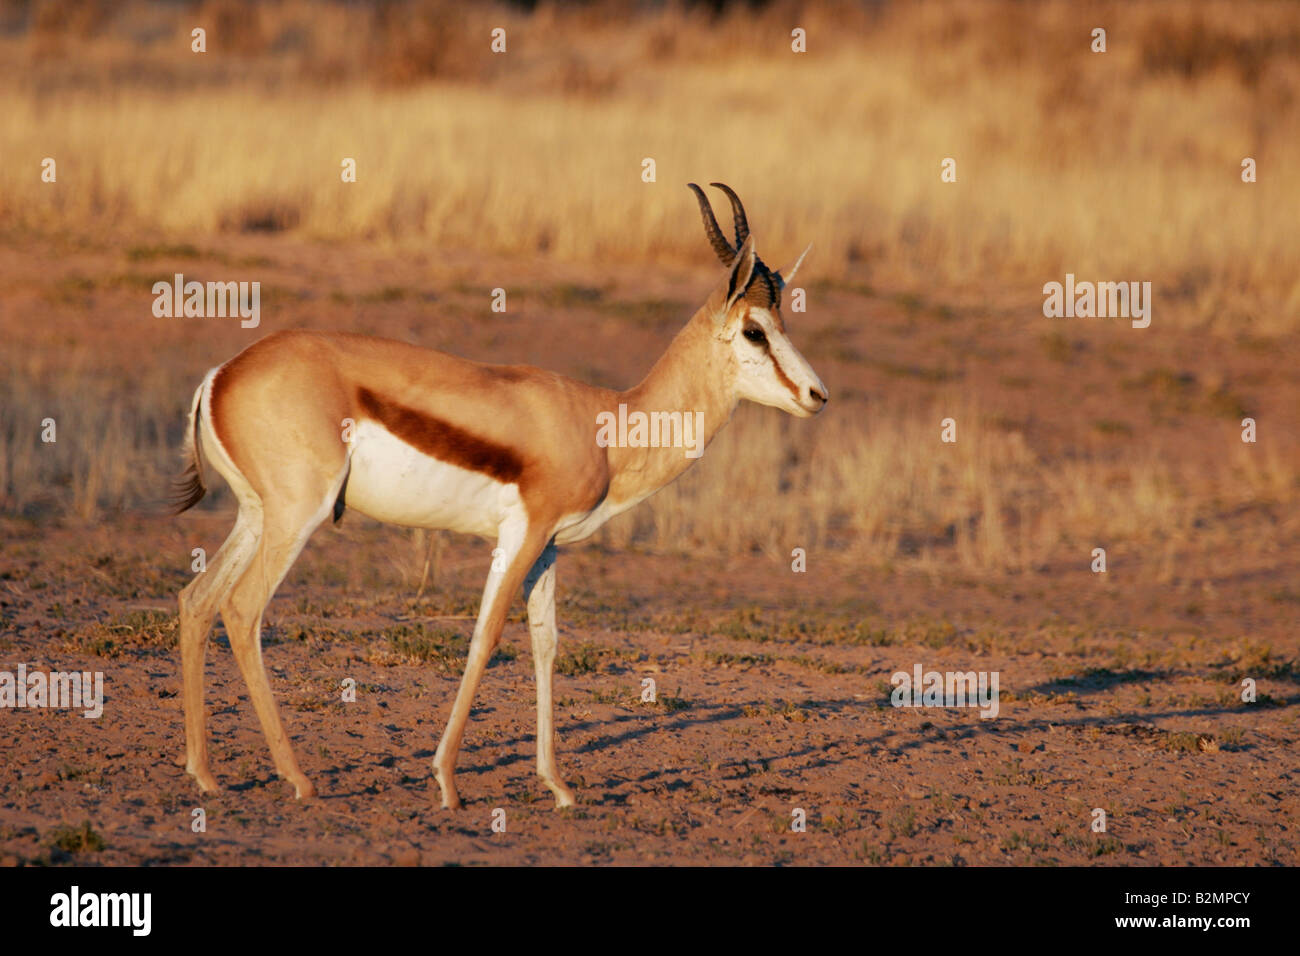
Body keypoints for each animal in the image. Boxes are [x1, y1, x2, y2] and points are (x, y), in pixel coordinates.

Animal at [171, 183, 828, 809]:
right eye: (754, 331)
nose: (817, 395)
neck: (608, 425)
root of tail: (221, 375)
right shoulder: (522, 534)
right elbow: (486, 638)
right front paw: (447, 783)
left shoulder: (549, 547)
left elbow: (545, 645)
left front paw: (558, 786)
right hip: (296, 516)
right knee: (242, 609)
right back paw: (298, 779)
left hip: (259, 516)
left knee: (197, 601)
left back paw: (204, 774)